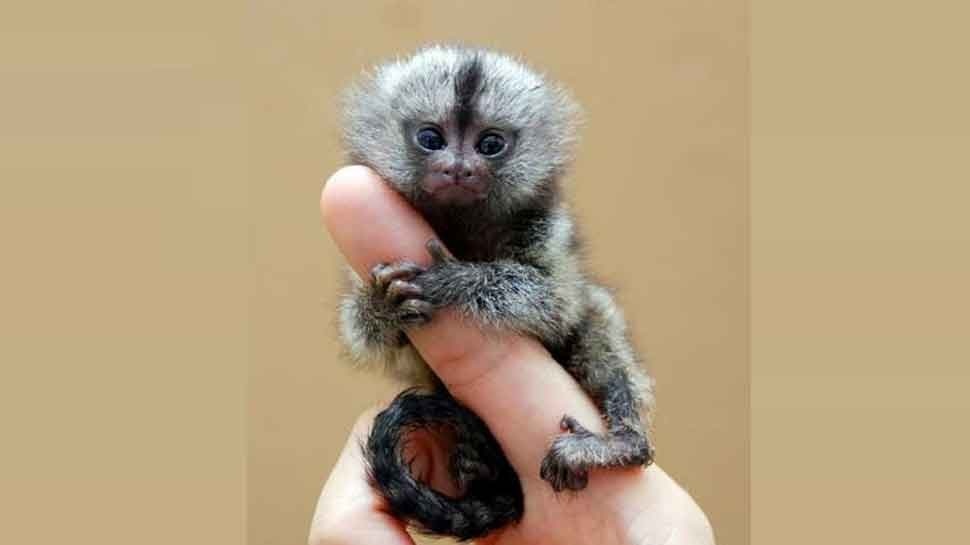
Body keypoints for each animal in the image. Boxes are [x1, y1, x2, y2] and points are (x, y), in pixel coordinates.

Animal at [335, 45, 656, 540]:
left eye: (490, 145)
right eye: (431, 138)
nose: (458, 169)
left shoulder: (543, 227)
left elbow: (557, 304)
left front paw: (455, 280)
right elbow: (371, 338)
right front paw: (380, 307)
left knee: (596, 319)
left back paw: (624, 443)